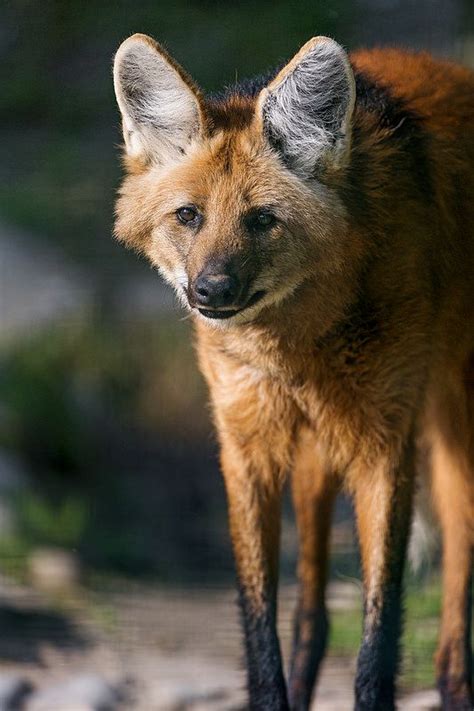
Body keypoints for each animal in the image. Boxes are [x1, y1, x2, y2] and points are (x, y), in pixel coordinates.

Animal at [113, 33, 474, 710]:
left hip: (452, 439)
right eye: (189, 216)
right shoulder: (246, 445)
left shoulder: (384, 447)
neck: (296, 347)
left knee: (455, 606)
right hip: (314, 456)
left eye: (262, 220)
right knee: (311, 608)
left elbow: (380, 627)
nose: (211, 290)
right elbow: (260, 620)